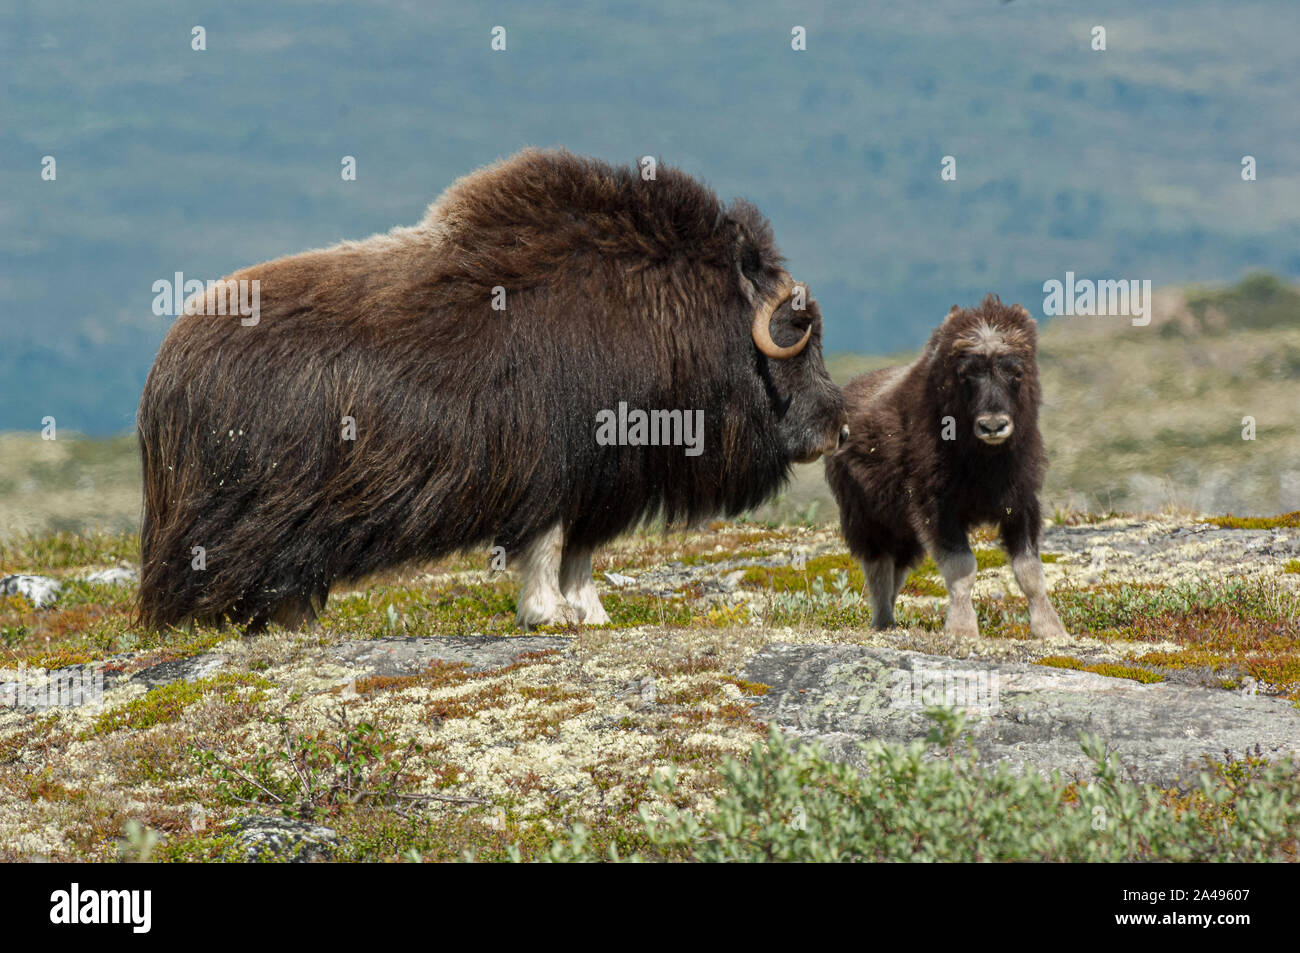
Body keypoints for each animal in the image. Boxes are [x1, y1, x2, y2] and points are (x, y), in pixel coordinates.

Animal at [137, 148, 847, 632]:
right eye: (798, 331)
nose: (839, 429)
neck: (669, 311)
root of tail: (168, 368)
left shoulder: (606, 474)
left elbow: (582, 550)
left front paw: (590, 613)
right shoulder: (561, 461)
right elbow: (551, 541)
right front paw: (548, 613)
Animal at [824, 295, 1067, 639]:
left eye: (1016, 372)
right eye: (966, 374)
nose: (993, 426)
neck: (984, 458)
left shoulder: (1020, 504)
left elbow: (1029, 570)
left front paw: (1051, 628)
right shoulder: (937, 509)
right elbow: (962, 567)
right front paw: (962, 628)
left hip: (902, 529)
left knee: (898, 568)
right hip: (866, 517)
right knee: (878, 566)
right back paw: (884, 622)